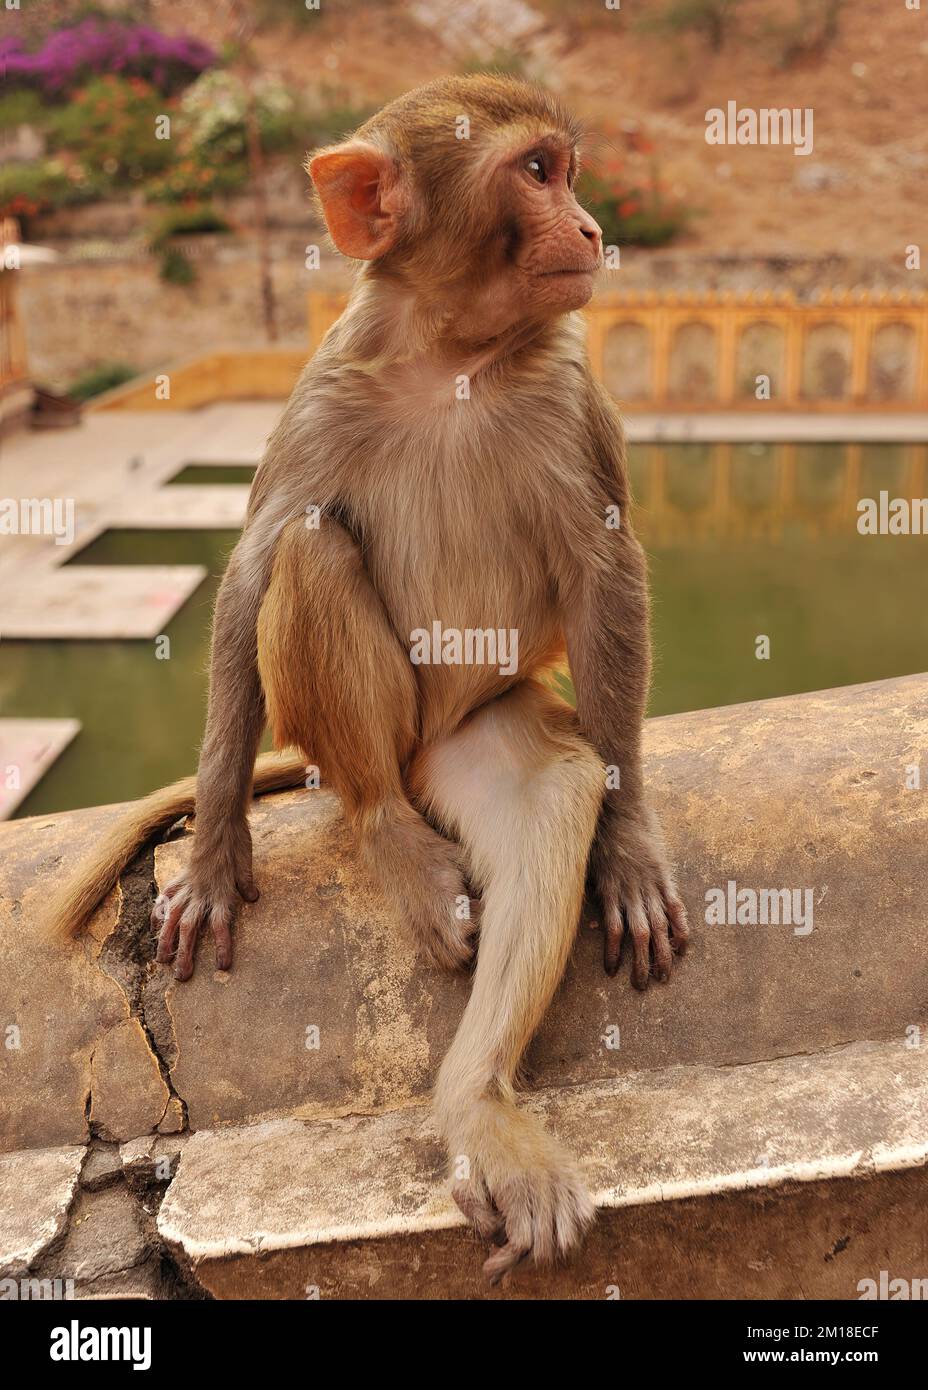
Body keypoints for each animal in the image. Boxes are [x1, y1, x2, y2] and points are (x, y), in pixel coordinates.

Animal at [48, 75, 688, 1281]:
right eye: (539, 172)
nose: (590, 230)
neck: (452, 356)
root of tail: (421, 746)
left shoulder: (571, 389)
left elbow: (606, 574)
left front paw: (629, 845)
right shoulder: (326, 382)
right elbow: (257, 565)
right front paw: (212, 851)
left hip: (473, 722)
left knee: (545, 795)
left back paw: (478, 1110)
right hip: (379, 734)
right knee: (314, 553)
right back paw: (389, 830)